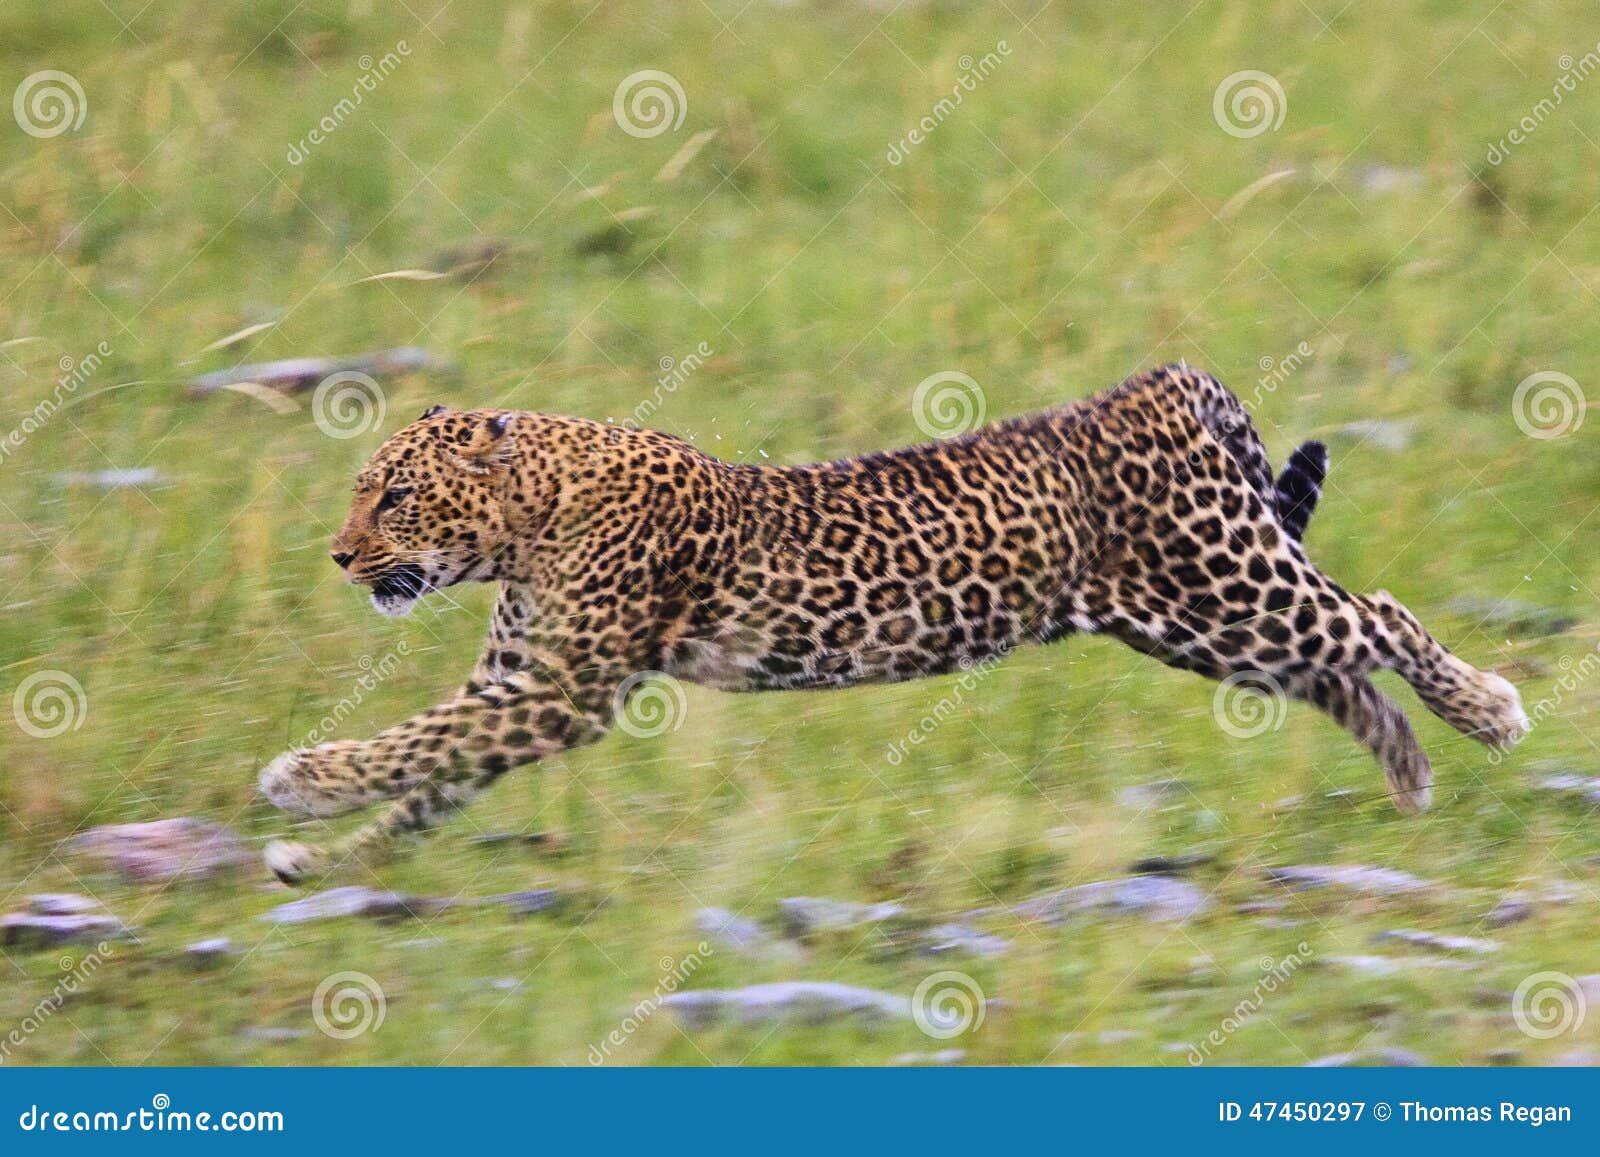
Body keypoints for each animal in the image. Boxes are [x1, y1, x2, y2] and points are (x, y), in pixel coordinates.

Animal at [259, 364, 1530, 884]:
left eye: (394, 494)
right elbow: (428, 777)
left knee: (1377, 613)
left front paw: (301, 778)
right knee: (1343, 669)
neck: (526, 519)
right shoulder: (517, 689)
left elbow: (413, 744)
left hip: (1231, 588)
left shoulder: (558, 694)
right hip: (1203, 625)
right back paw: (1411, 775)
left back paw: (1489, 711)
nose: (339, 555)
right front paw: (321, 857)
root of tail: (1162, 383)